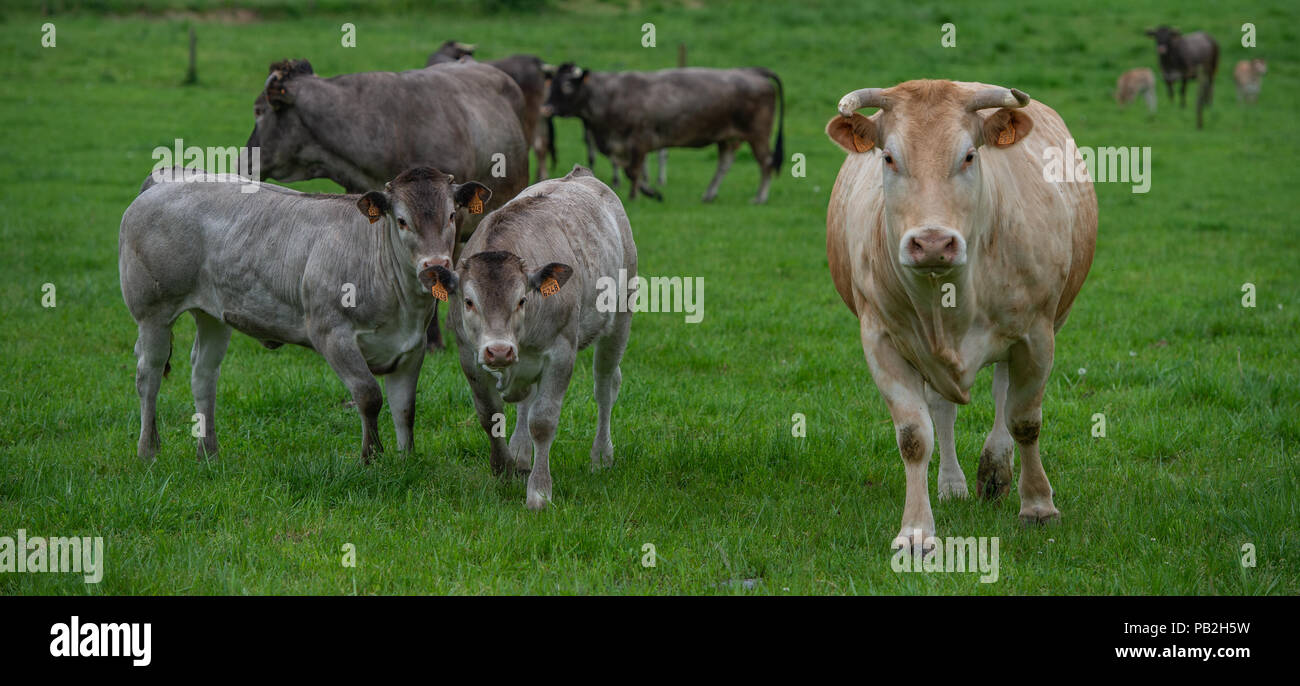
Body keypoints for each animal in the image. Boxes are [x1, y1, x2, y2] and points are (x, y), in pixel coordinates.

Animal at [119, 166, 491, 463]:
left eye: (451, 216)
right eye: (402, 221)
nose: (435, 266)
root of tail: (170, 177)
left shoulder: (411, 346)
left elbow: (405, 408)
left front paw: (406, 459)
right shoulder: (331, 333)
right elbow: (368, 395)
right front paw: (372, 457)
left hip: (212, 316)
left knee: (203, 374)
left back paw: (208, 452)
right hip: (152, 312)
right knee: (148, 375)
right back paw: (148, 450)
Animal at [426, 166, 636, 510]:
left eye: (522, 300)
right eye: (468, 302)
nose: (499, 351)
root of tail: (581, 175)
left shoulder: (561, 353)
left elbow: (543, 421)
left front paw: (539, 492)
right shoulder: (468, 356)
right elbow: (489, 415)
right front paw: (503, 468)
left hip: (619, 320)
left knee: (606, 387)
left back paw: (601, 455)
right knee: (527, 399)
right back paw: (521, 453)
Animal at [543, 64, 784, 203]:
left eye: (566, 86)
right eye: (551, 84)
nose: (545, 108)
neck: (611, 96)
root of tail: (751, 71)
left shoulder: (639, 140)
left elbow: (633, 171)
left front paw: (635, 196)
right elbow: (630, 171)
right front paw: (651, 192)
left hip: (758, 134)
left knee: (766, 163)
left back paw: (760, 196)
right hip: (727, 137)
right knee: (724, 164)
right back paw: (709, 194)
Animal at [824, 80, 1098, 553]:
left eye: (969, 155)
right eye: (889, 157)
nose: (932, 243)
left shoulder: (1037, 335)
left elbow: (1025, 420)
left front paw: (1038, 506)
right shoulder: (881, 341)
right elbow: (915, 436)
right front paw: (916, 531)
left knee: (1004, 395)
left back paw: (996, 470)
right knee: (943, 410)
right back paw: (953, 484)